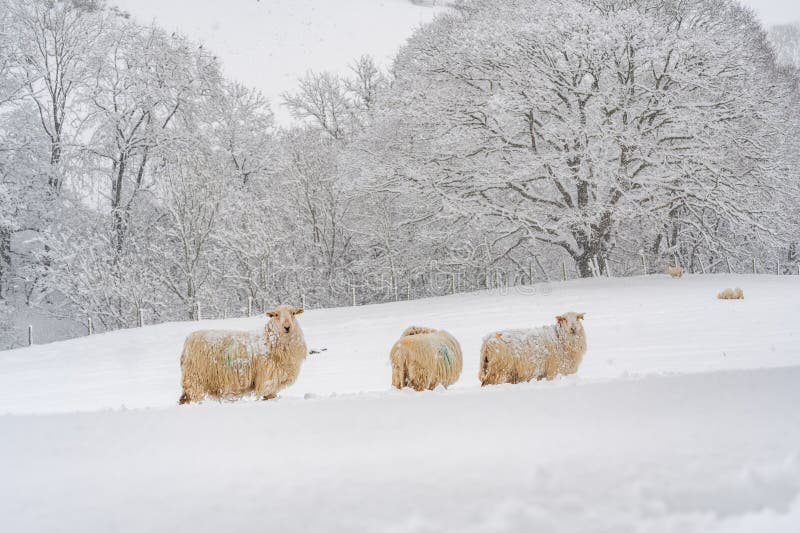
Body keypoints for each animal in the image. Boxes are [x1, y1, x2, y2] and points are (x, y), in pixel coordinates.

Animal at [178, 305, 307, 404]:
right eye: (276, 315)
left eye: (293, 313)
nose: (287, 327)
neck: (269, 340)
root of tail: (188, 339)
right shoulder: (268, 378)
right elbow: (268, 393)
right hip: (195, 378)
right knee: (193, 395)